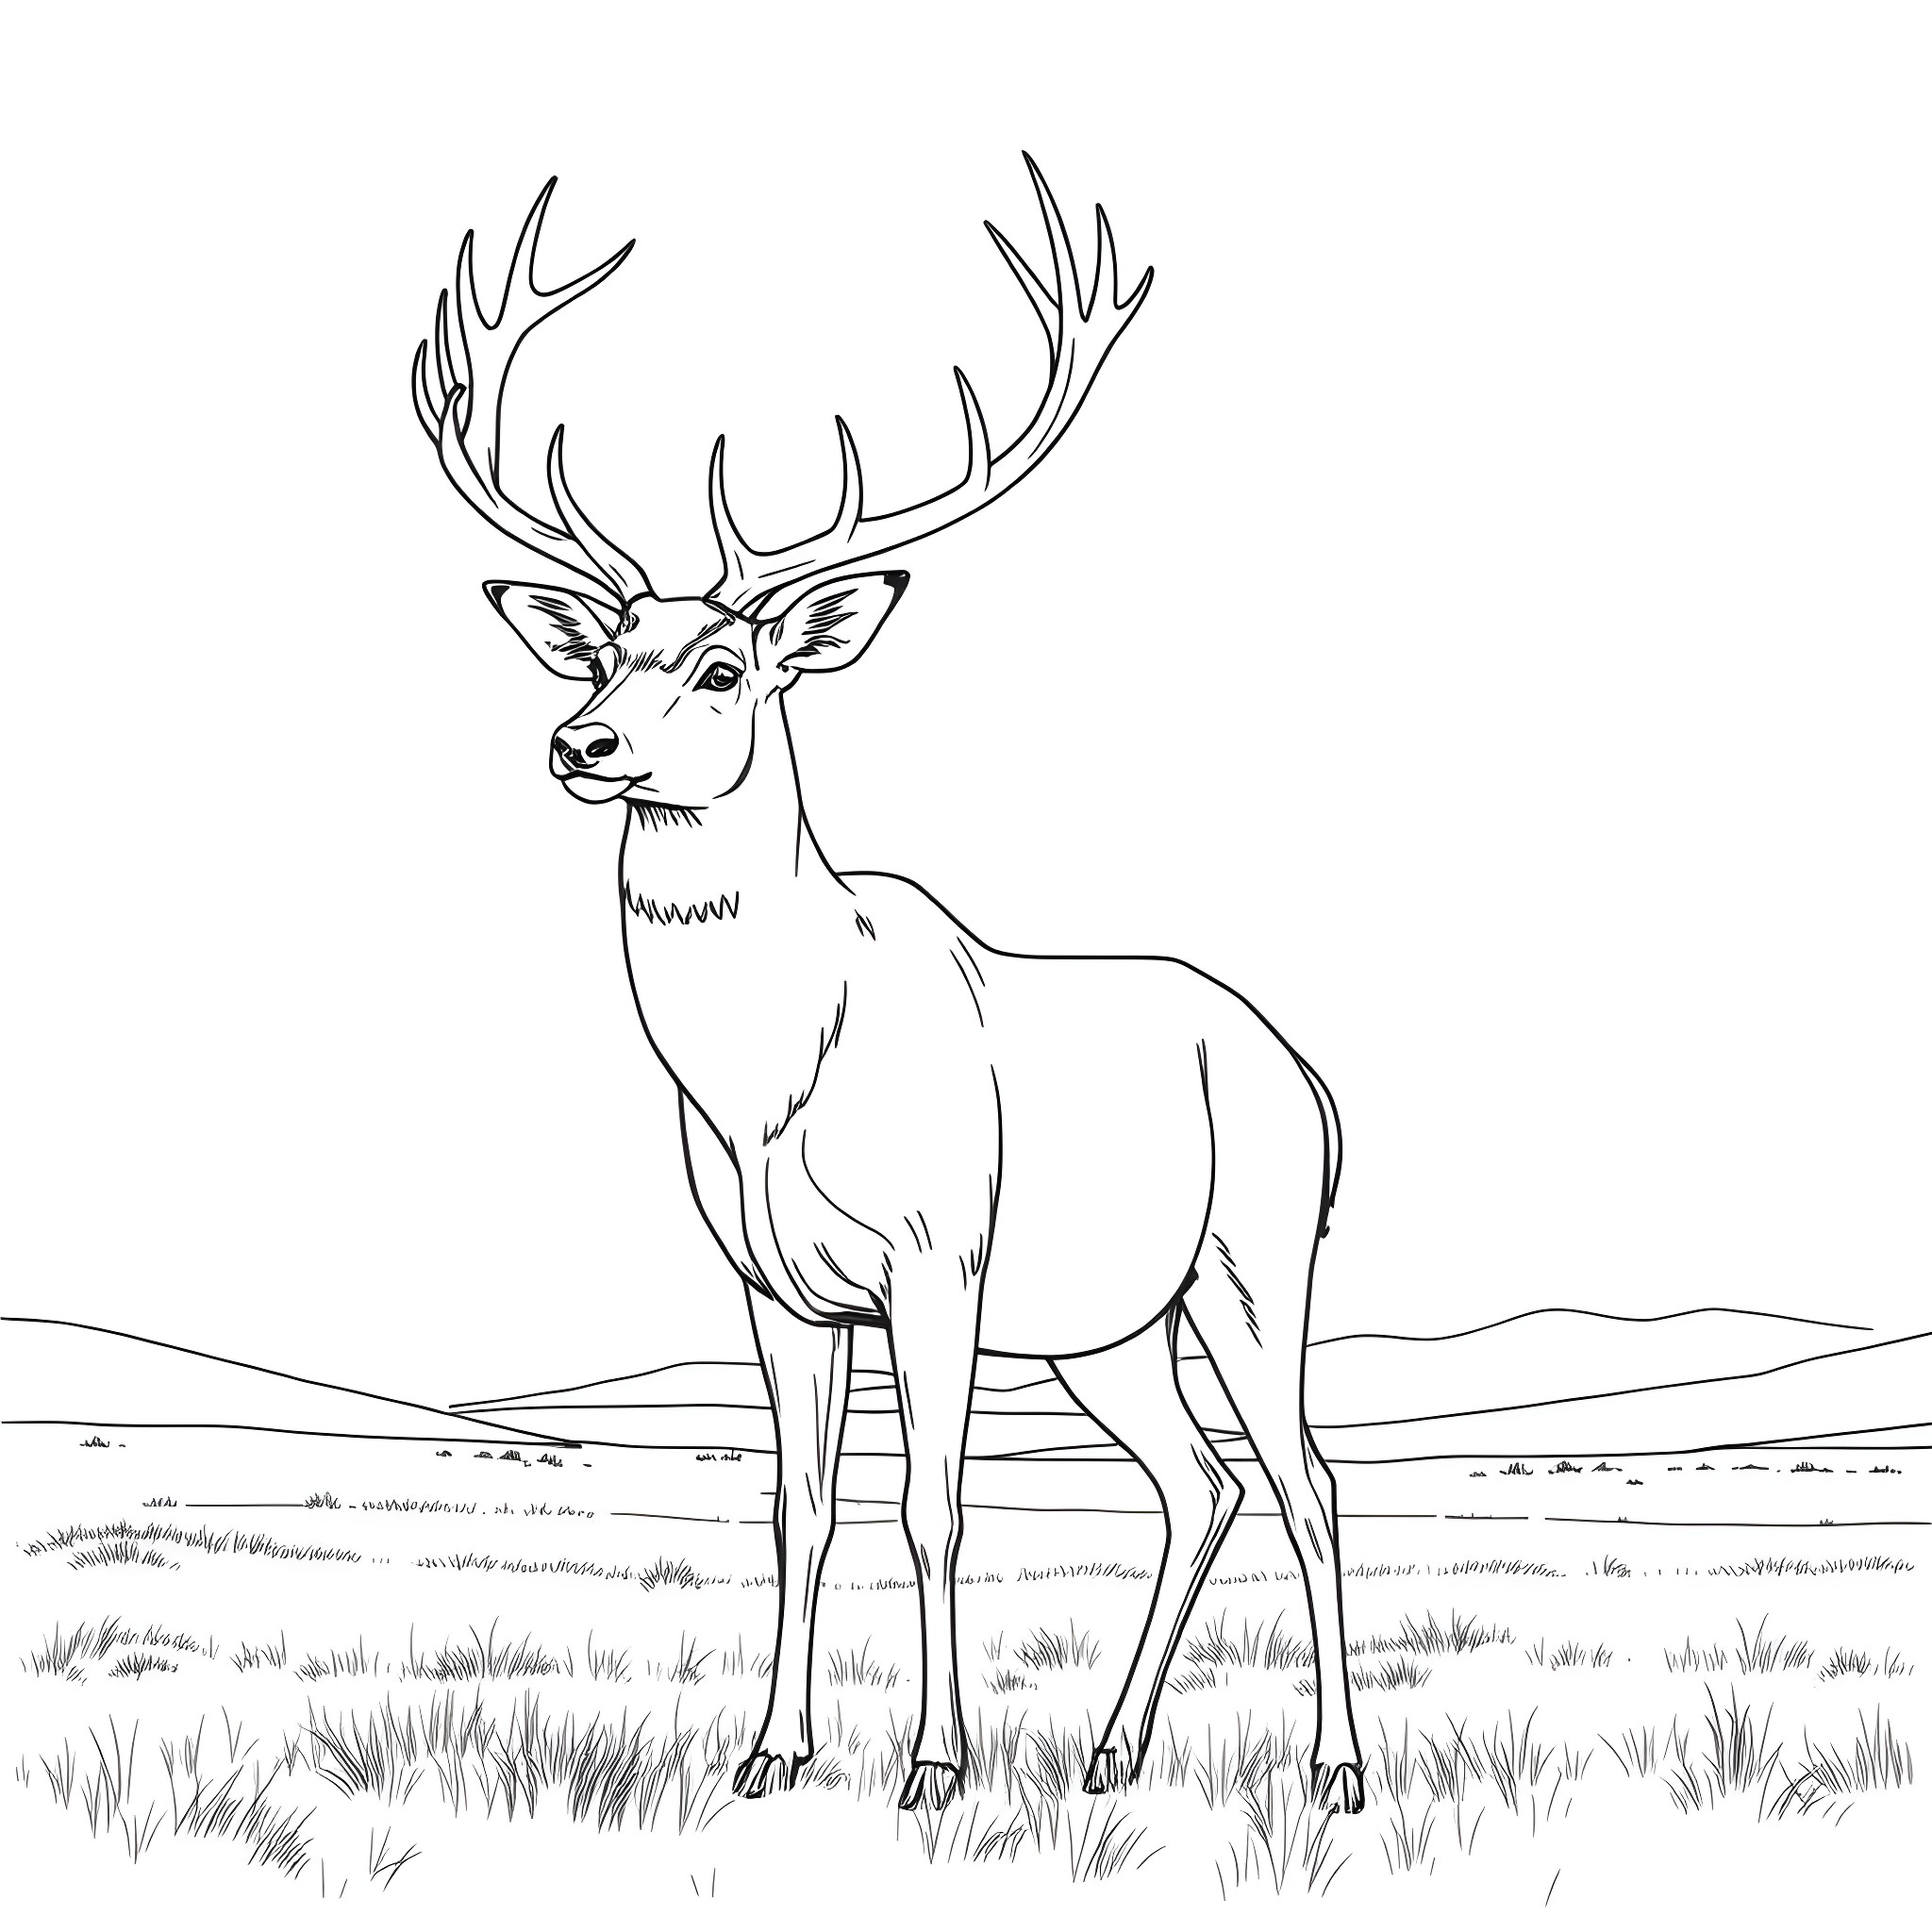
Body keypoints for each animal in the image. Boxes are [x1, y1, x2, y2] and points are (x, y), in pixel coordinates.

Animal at [410, 160, 1365, 1816]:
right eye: (599, 657)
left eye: (724, 668)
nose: (580, 744)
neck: (768, 1083)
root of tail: (1314, 1085)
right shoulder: (777, 1289)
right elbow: (802, 1508)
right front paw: (771, 1750)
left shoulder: (937, 1253)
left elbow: (933, 1504)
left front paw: (934, 1762)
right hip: (1105, 1326)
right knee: (1196, 1481)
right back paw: (1112, 1751)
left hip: (1251, 1258)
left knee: (1306, 1475)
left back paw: (1336, 1769)